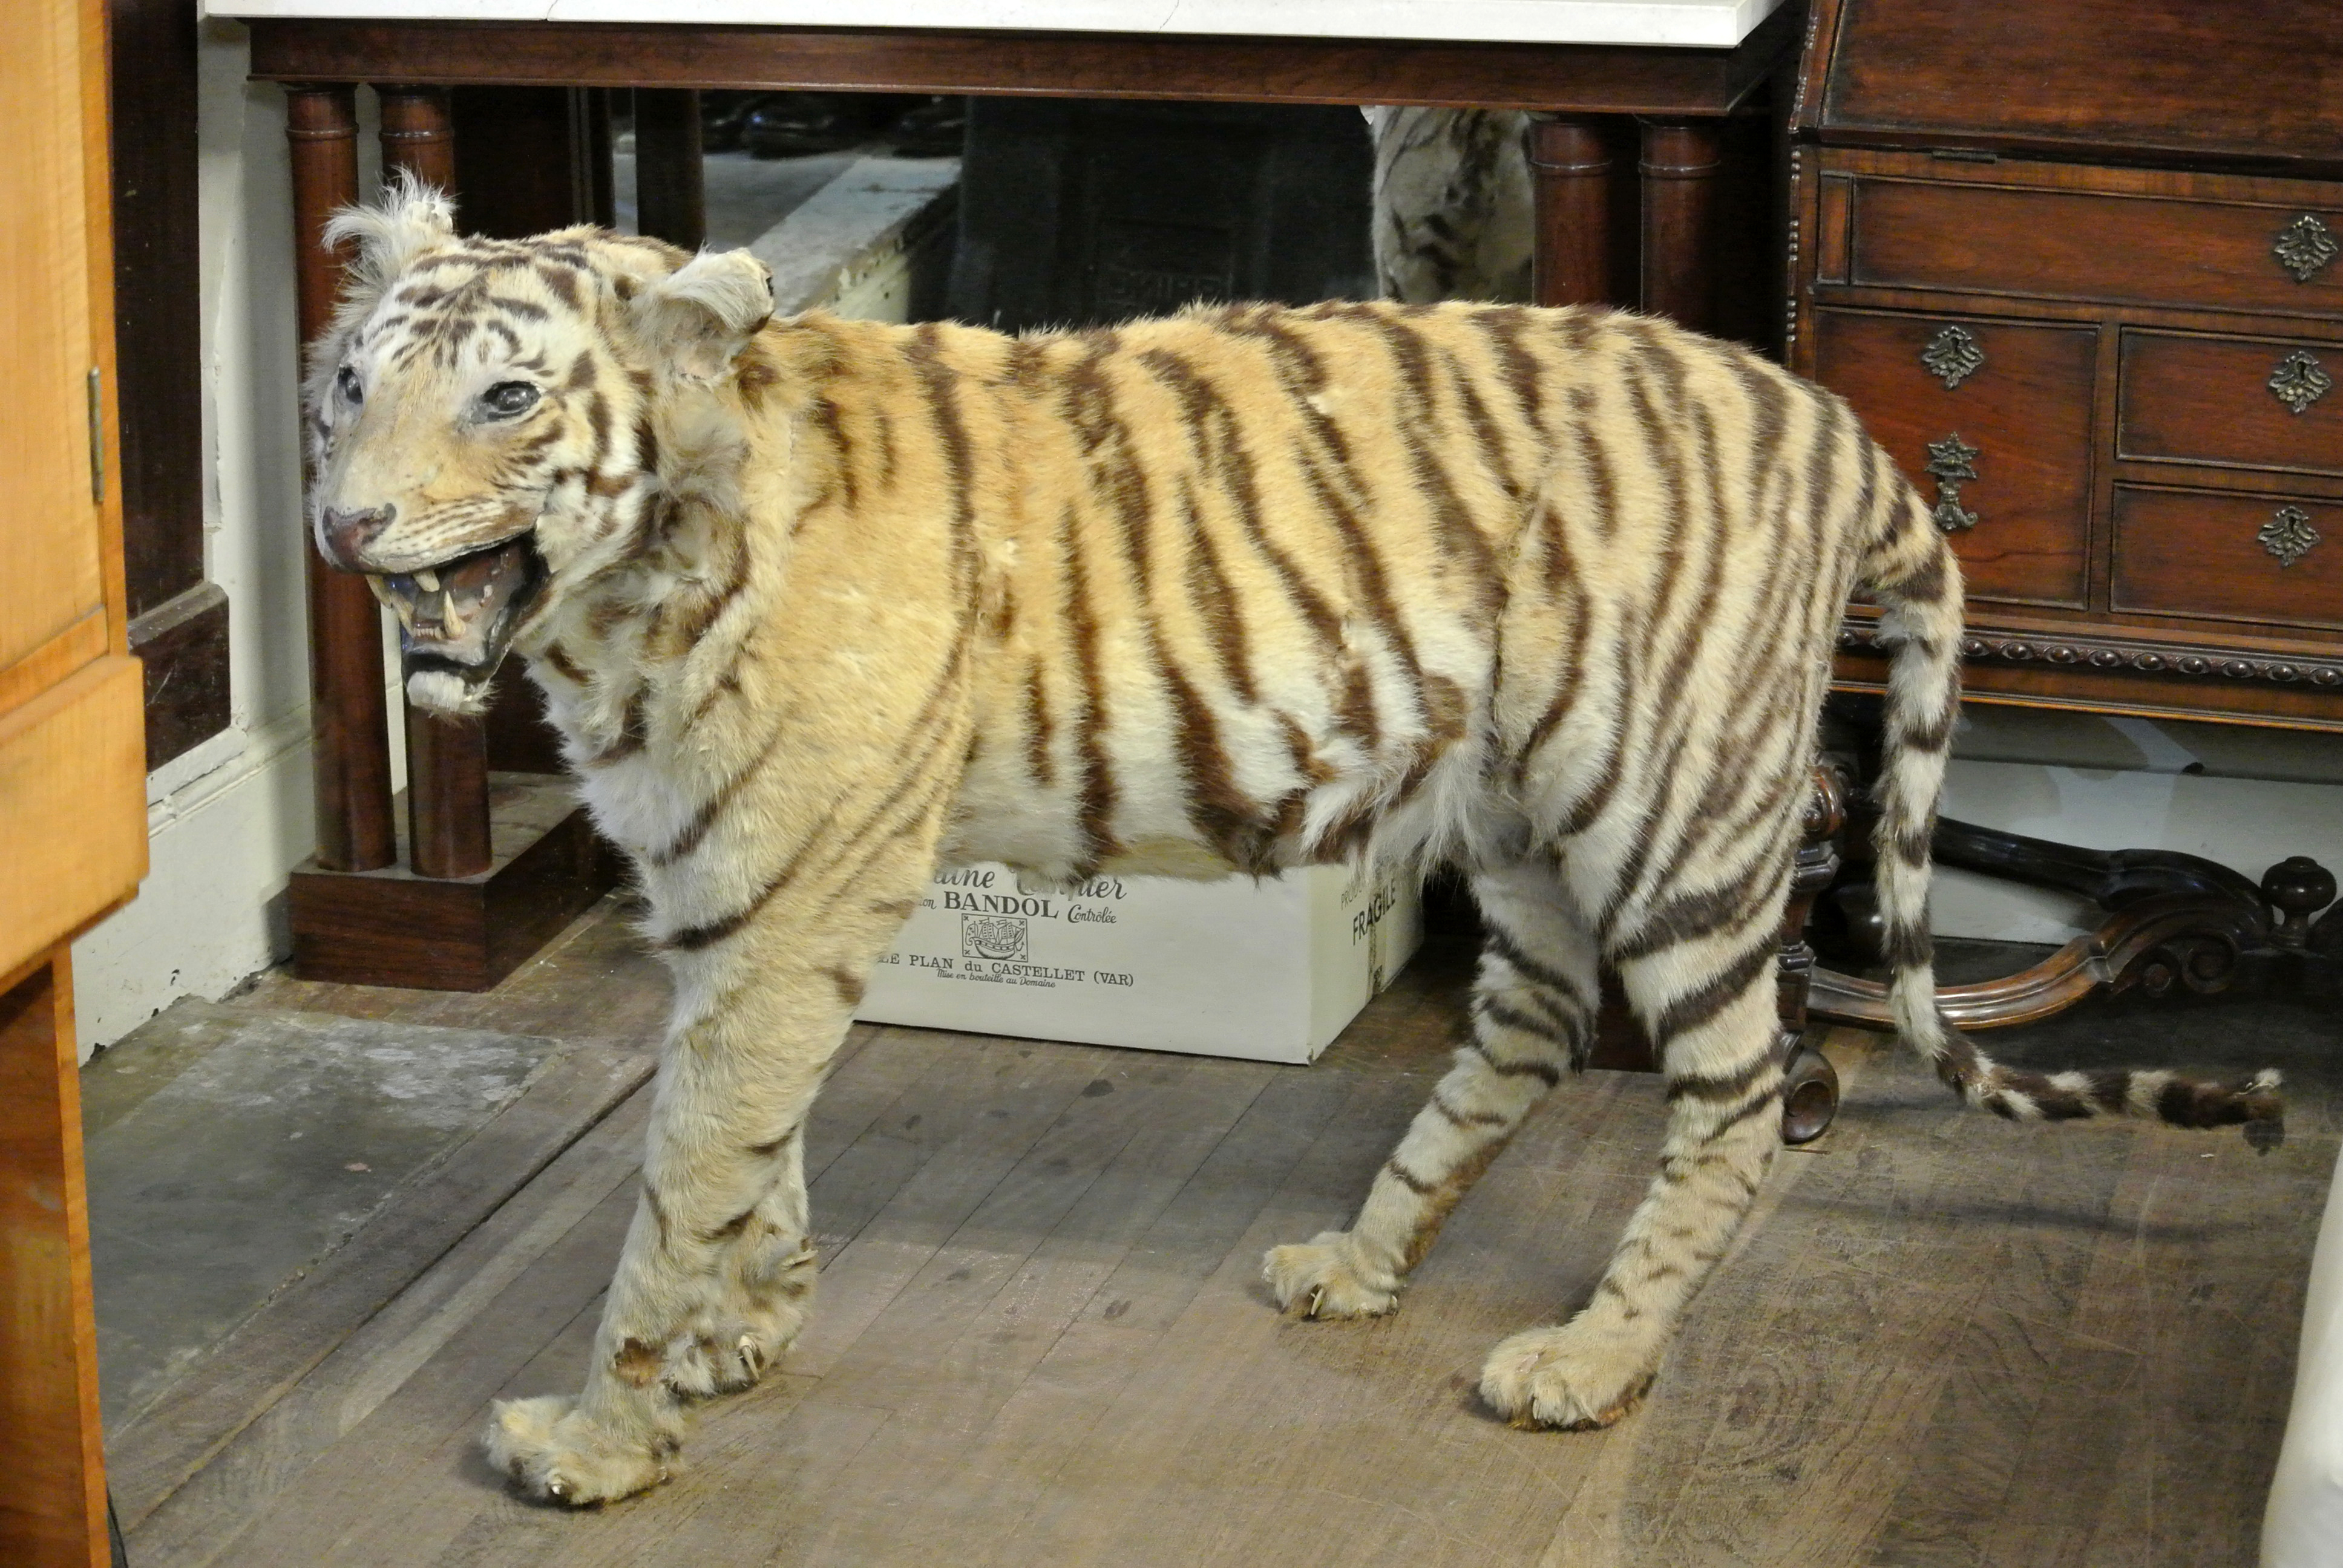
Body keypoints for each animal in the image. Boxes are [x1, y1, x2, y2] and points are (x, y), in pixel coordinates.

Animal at [305, 176, 2283, 1506]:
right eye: (345, 389)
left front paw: (600, 1434)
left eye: (503, 401)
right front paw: (748, 1330)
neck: (613, 605)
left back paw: (1590, 1359)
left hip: (1676, 819)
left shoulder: (782, 909)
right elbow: (748, 1152)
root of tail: (1853, 434)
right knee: (1528, 1031)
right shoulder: (738, 913)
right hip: (1524, 818)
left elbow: (673, 1185)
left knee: (1733, 1095)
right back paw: (1359, 1262)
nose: (339, 527)